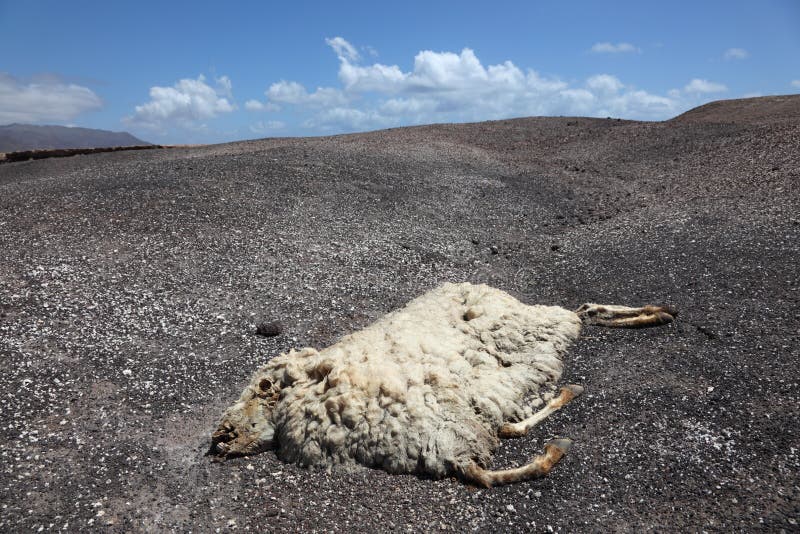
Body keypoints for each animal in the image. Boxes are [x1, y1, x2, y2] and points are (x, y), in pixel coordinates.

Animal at [210, 282, 675, 487]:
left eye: (261, 387)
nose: (220, 437)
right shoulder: (436, 424)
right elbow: (483, 465)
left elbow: (484, 470)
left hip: (527, 326)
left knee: (581, 310)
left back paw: (655, 313)